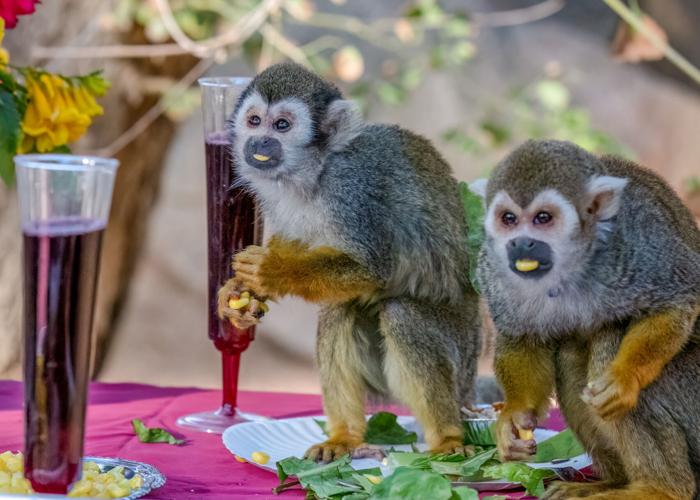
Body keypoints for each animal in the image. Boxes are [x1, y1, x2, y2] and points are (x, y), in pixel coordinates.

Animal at [216, 62, 483, 462]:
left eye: (281, 125)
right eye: (254, 120)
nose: (259, 142)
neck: (314, 172)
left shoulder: (352, 188)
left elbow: (374, 269)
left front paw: (271, 271)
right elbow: (295, 244)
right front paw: (241, 292)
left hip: (461, 355)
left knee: (401, 313)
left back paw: (448, 440)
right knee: (339, 308)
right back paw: (345, 438)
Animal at [475, 139, 700, 500]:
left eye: (543, 218)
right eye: (508, 219)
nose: (520, 243)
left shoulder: (634, 245)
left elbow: (677, 301)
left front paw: (625, 378)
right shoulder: (493, 264)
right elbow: (522, 336)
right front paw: (514, 415)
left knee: (610, 339)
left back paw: (659, 489)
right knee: (570, 356)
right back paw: (611, 481)